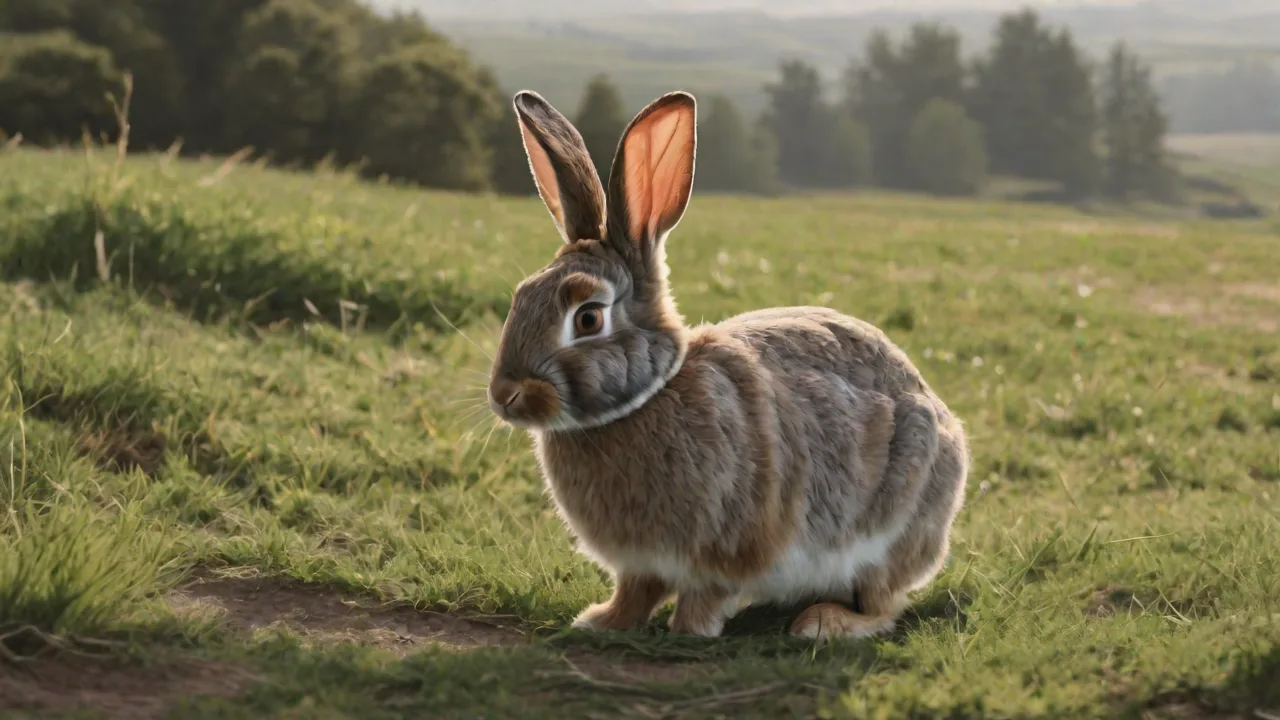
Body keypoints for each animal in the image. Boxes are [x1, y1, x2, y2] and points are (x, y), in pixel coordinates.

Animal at [485, 88, 970, 640]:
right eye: (522, 296)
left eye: (588, 318)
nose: (504, 395)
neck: (647, 397)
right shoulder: (640, 564)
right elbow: (635, 592)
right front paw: (601, 621)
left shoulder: (726, 548)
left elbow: (706, 594)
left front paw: (688, 631)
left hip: (889, 532)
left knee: (884, 605)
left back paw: (822, 623)